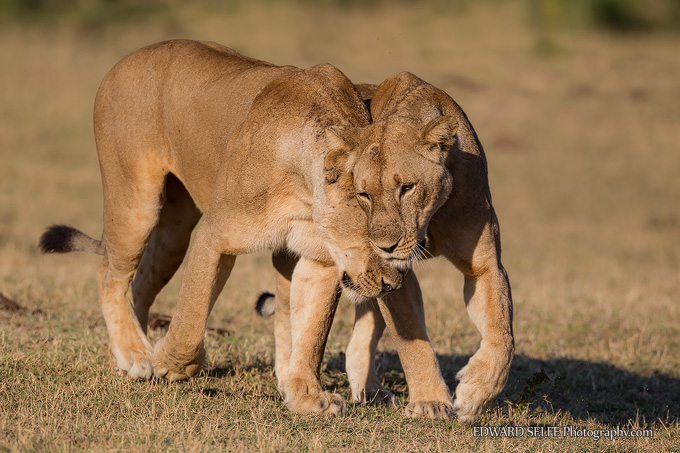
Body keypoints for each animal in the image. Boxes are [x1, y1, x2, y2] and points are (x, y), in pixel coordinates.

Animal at [38, 39, 413, 416]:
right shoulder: (215, 236)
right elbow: (191, 316)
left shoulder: (319, 259)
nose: (394, 285)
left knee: (140, 284)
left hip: (174, 232)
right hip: (135, 201)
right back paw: (136, 354)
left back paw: (129, 355)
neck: (305, 193)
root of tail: (125, 60)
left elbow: (312, 330)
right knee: (110, 275)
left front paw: (308, 396)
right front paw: (171, 363)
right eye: (378, 232)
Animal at [259, 73, 514, 422]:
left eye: (407, 187)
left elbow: (502, 333)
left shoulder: (484, 265)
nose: (385, 246)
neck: (427, 225)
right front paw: (431, 402)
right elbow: (411, 338)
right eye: (363, 194)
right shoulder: (395, 277)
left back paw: (370, 391)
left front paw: (475, 393)